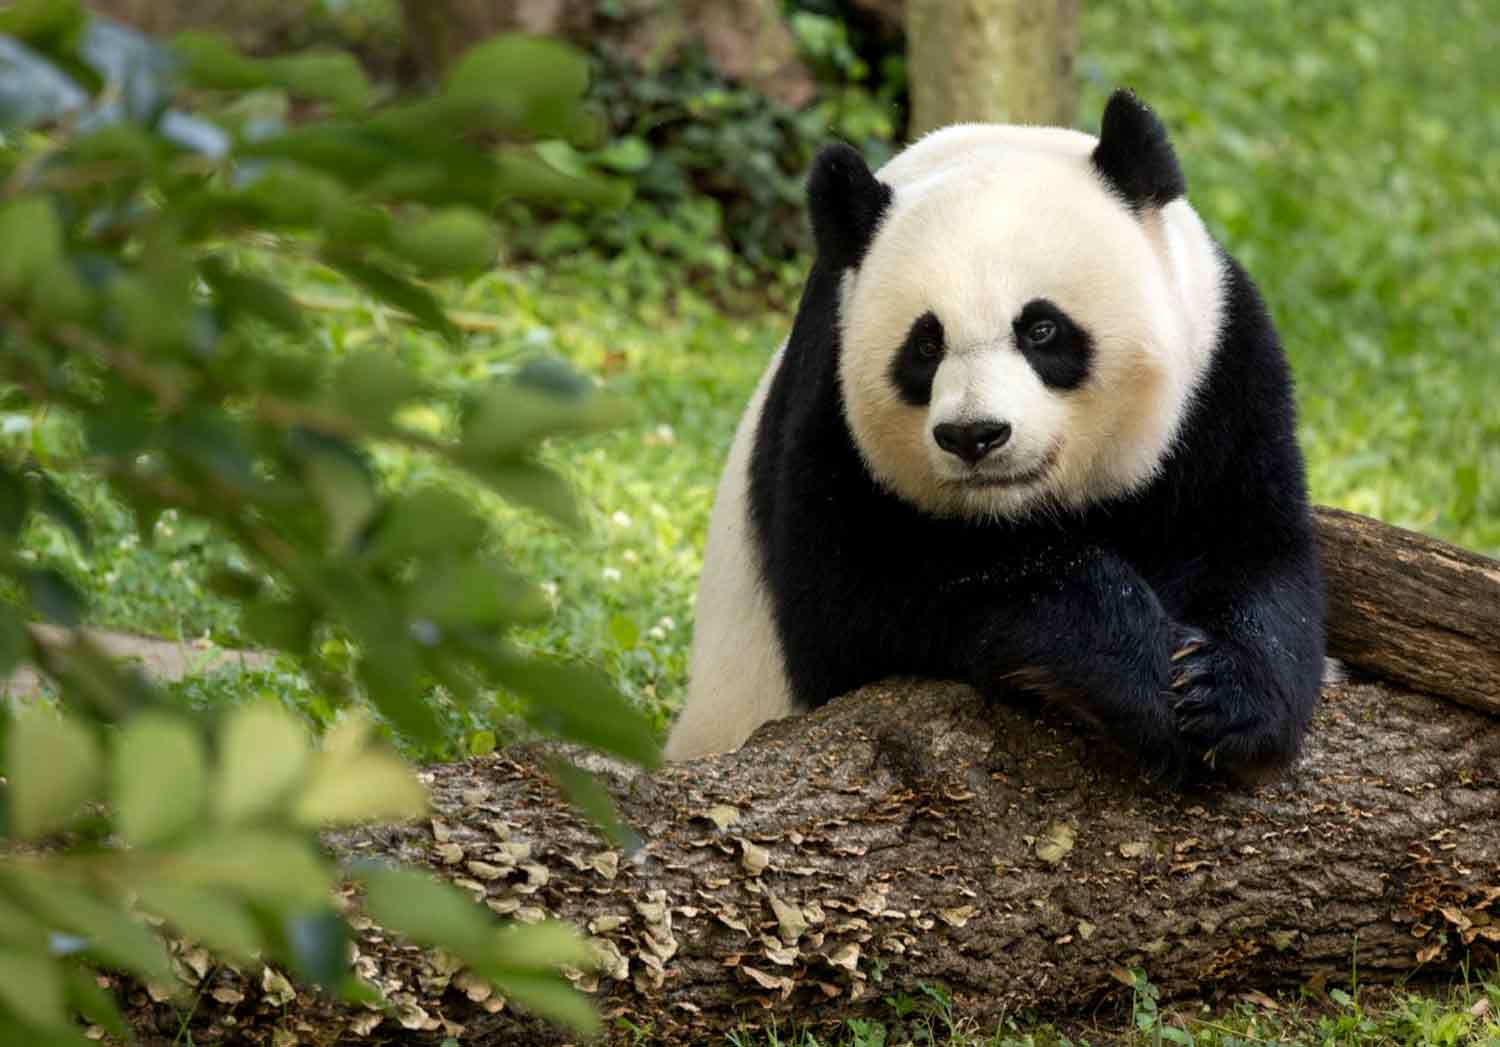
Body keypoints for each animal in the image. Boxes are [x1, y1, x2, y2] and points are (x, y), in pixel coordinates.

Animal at [666, 90, 1326, 782]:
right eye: (925, 346)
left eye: (1041, 329)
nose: (973, 435)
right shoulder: (828, 407)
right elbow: (854, 606)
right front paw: (1133, 670)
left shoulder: (1222, 370)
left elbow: (1255, 550)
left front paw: (1222, 699)